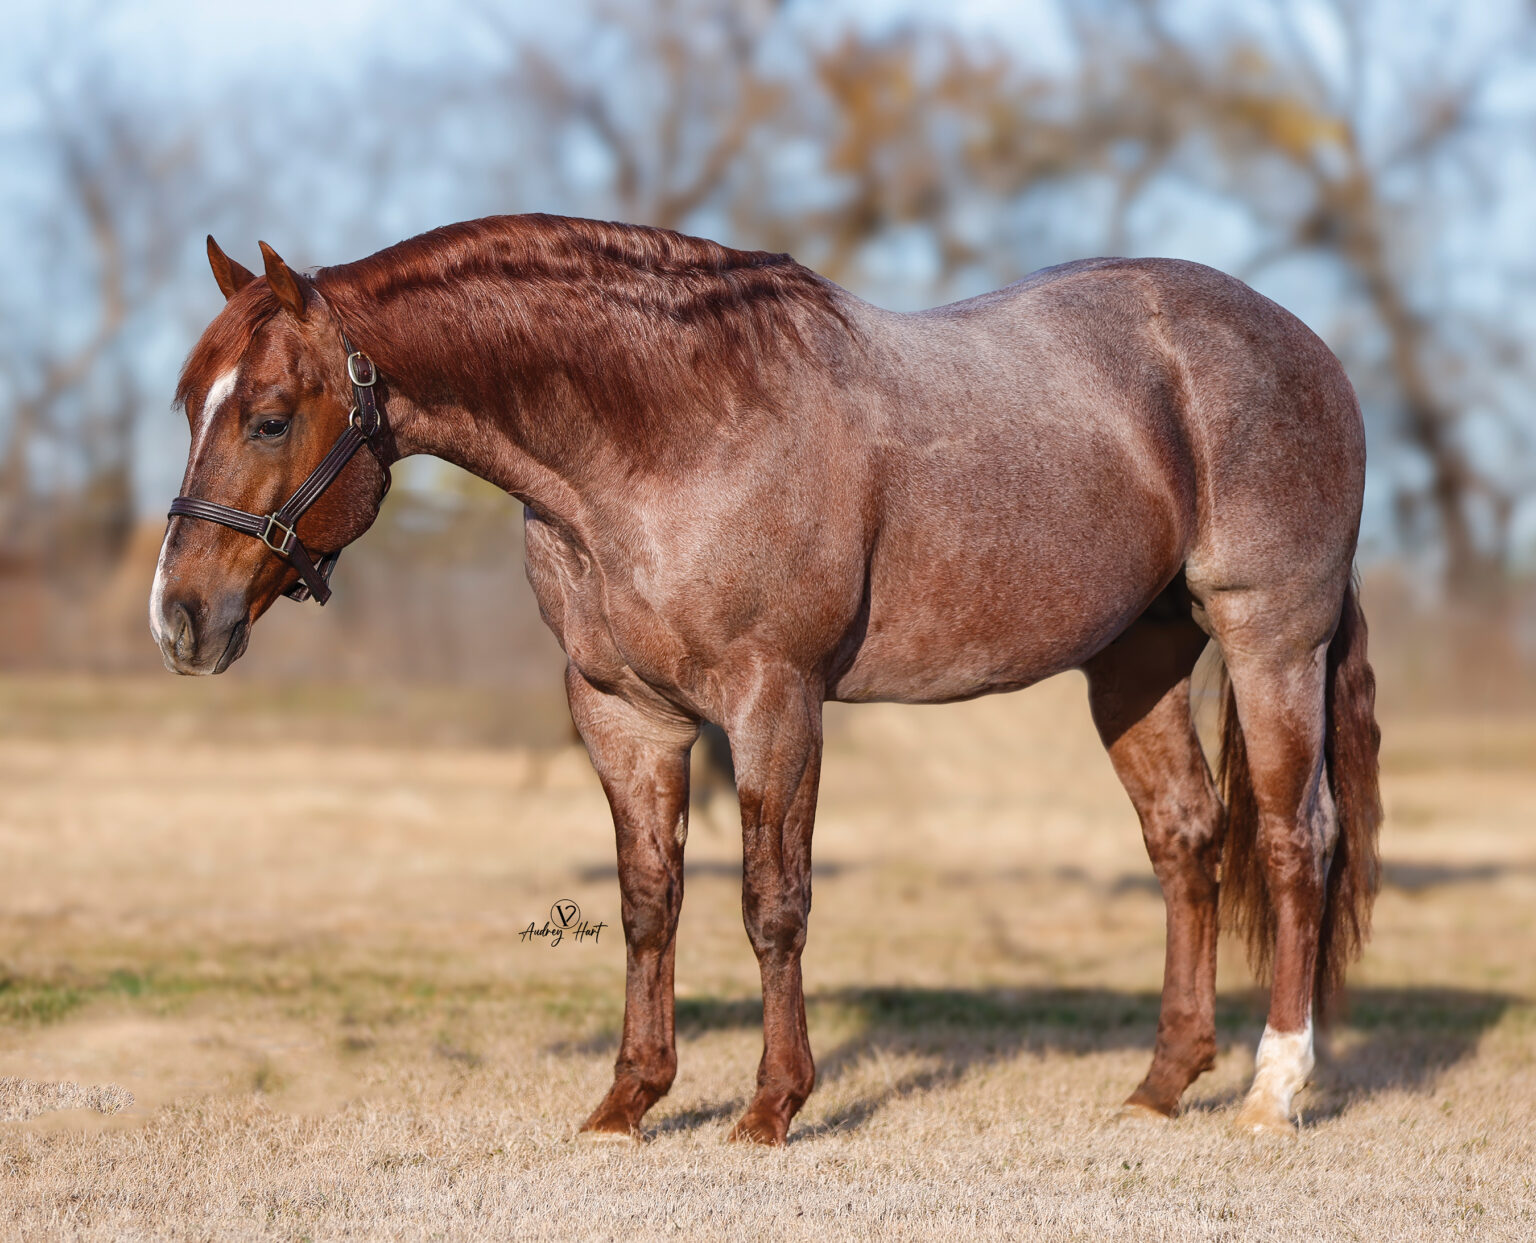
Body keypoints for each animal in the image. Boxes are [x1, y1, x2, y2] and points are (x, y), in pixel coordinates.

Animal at [150, 215, 1381, 1144]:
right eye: (188, 404)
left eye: (269, 416)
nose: (179, 618)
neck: (666, 428)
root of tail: (1308, 347)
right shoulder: (624, 713)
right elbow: (650, 902)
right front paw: (629, 1101)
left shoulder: (773, 700)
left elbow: (771, 902)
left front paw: (771, 1106)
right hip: (1133, 660)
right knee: (1185, 839)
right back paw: (1161, 1084)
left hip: (1271, 639)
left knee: (1291, 839)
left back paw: (1273, 1090)